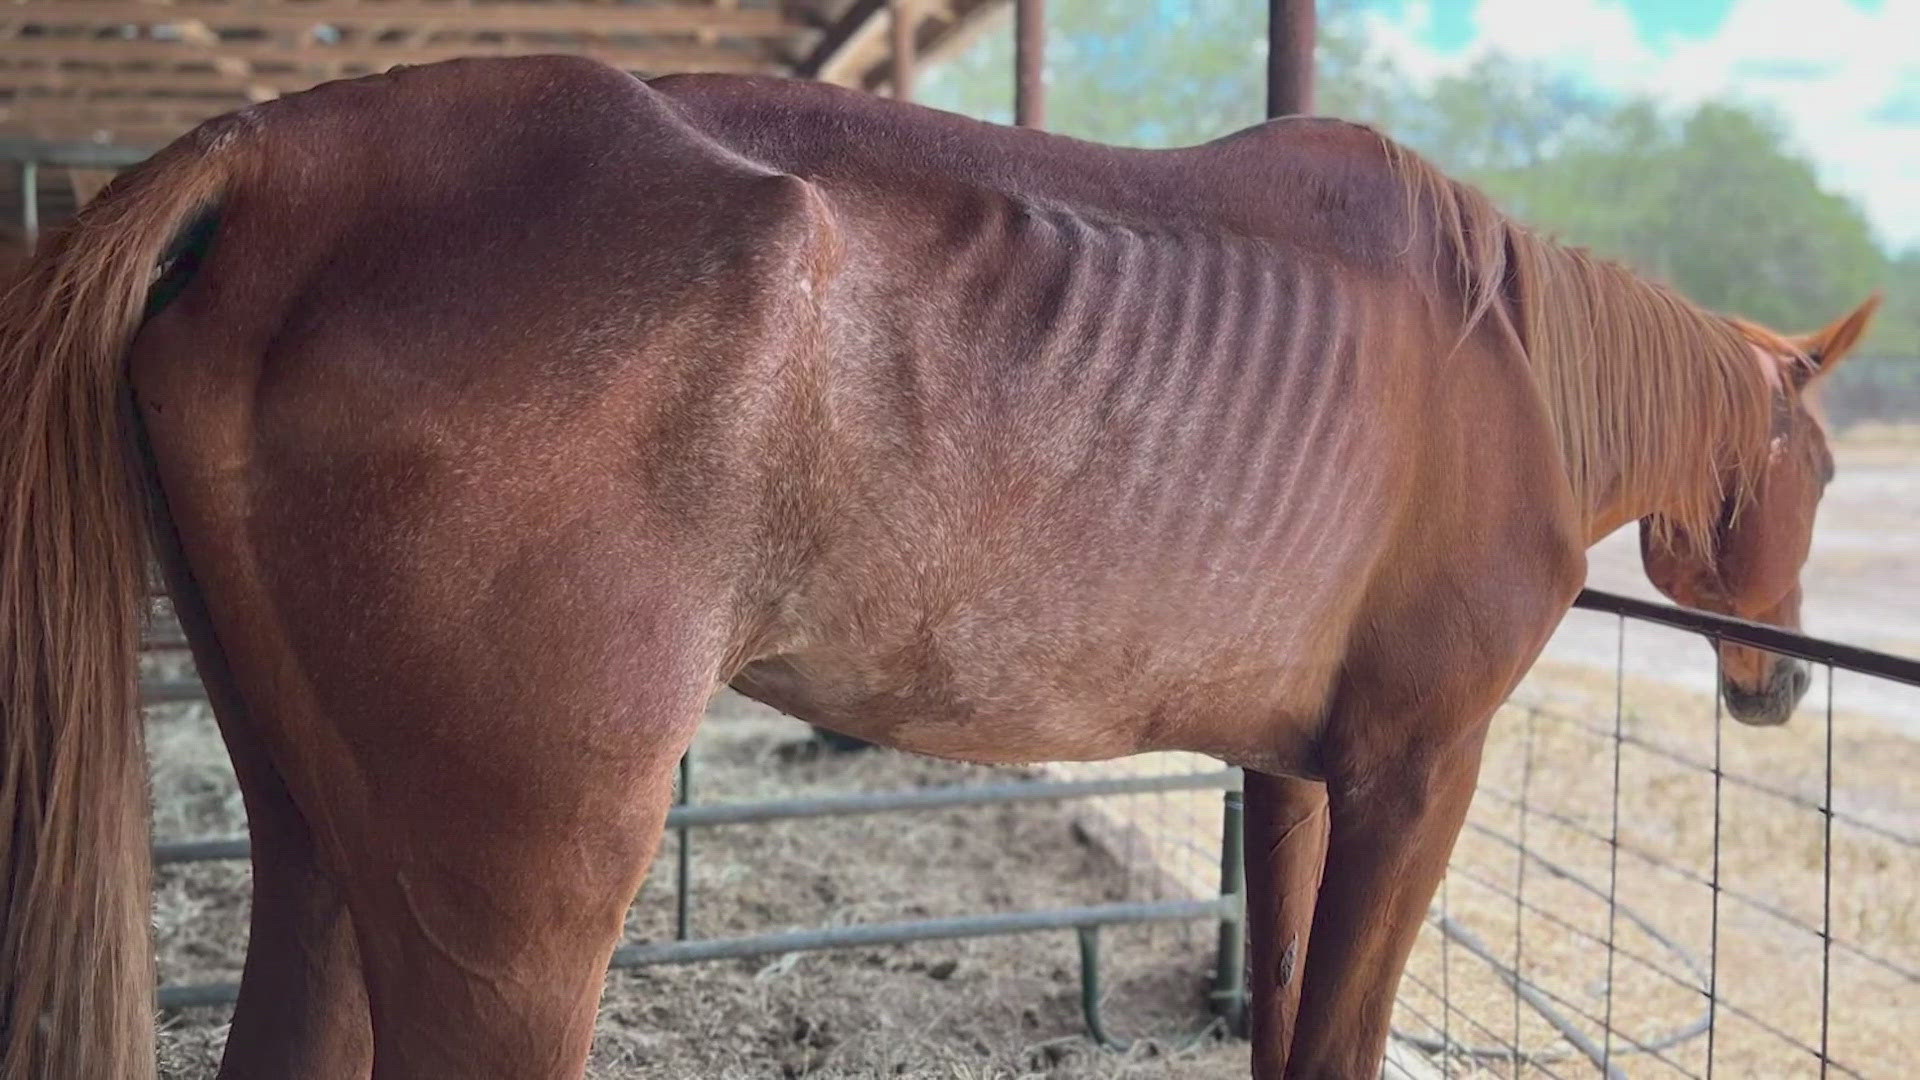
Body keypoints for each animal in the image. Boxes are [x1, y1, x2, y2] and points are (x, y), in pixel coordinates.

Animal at [0, 55, 1876, 1079]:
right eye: (1826, 465)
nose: (1779, 686)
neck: (1512, 369)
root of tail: (277, 157)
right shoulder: (1418, 774)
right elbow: (1339, 1033)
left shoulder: (1296, 771)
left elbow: (1281, 1013)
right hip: (512, 908)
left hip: (322, 845)